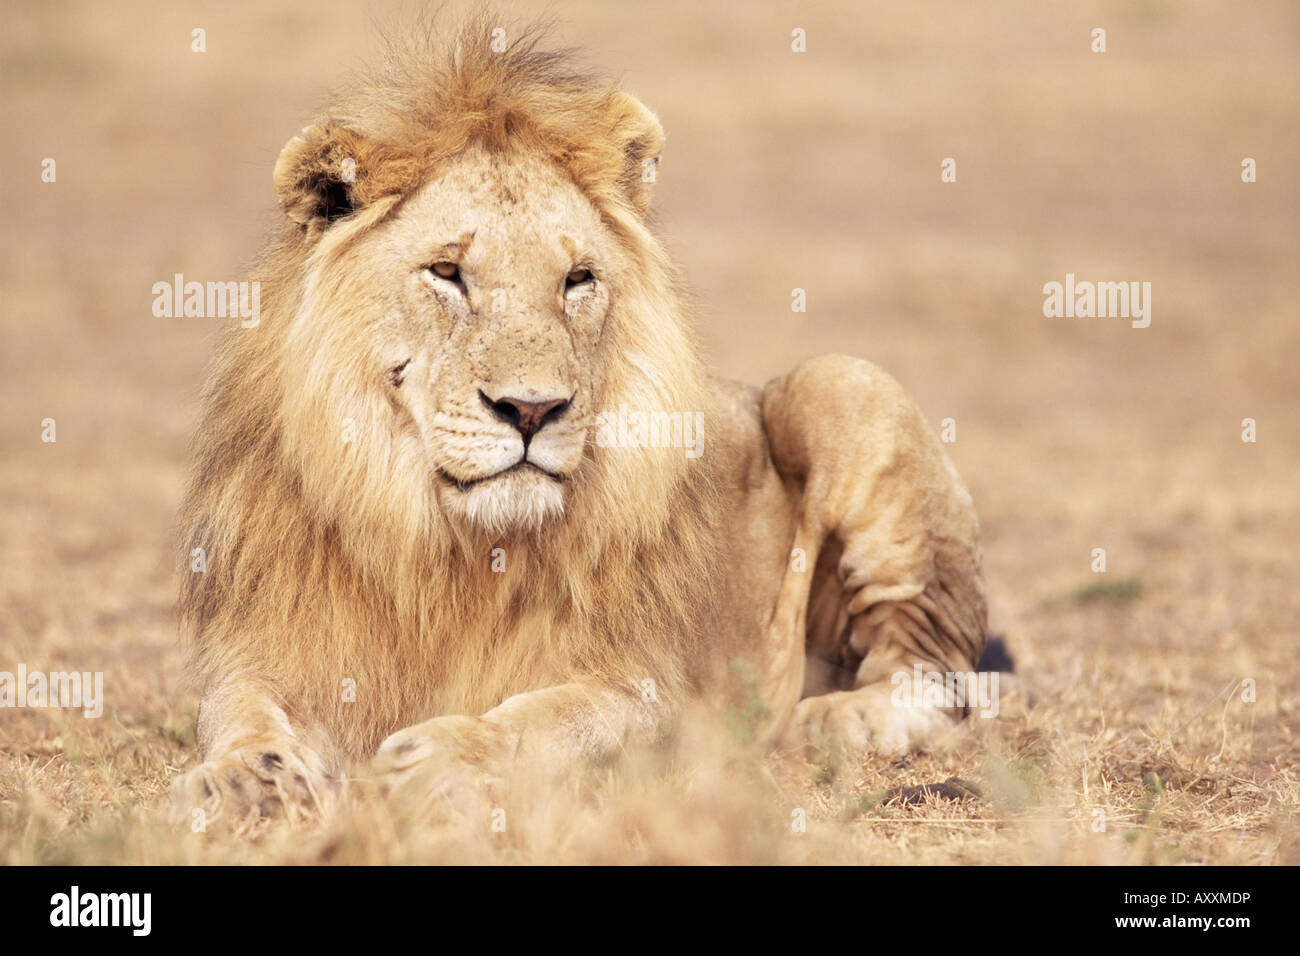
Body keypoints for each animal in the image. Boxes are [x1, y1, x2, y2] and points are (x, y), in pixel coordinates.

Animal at [172, 19, 987, 827]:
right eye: (447, 273)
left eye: (577, 280)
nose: (532, 409)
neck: (449, 551)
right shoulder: (267, 644)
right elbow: (238, 710)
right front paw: (246, 779)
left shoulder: (650, 687)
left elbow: (552, 721)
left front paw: (446, 757)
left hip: (843, 384)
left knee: (938, 680)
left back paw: (831, 718)